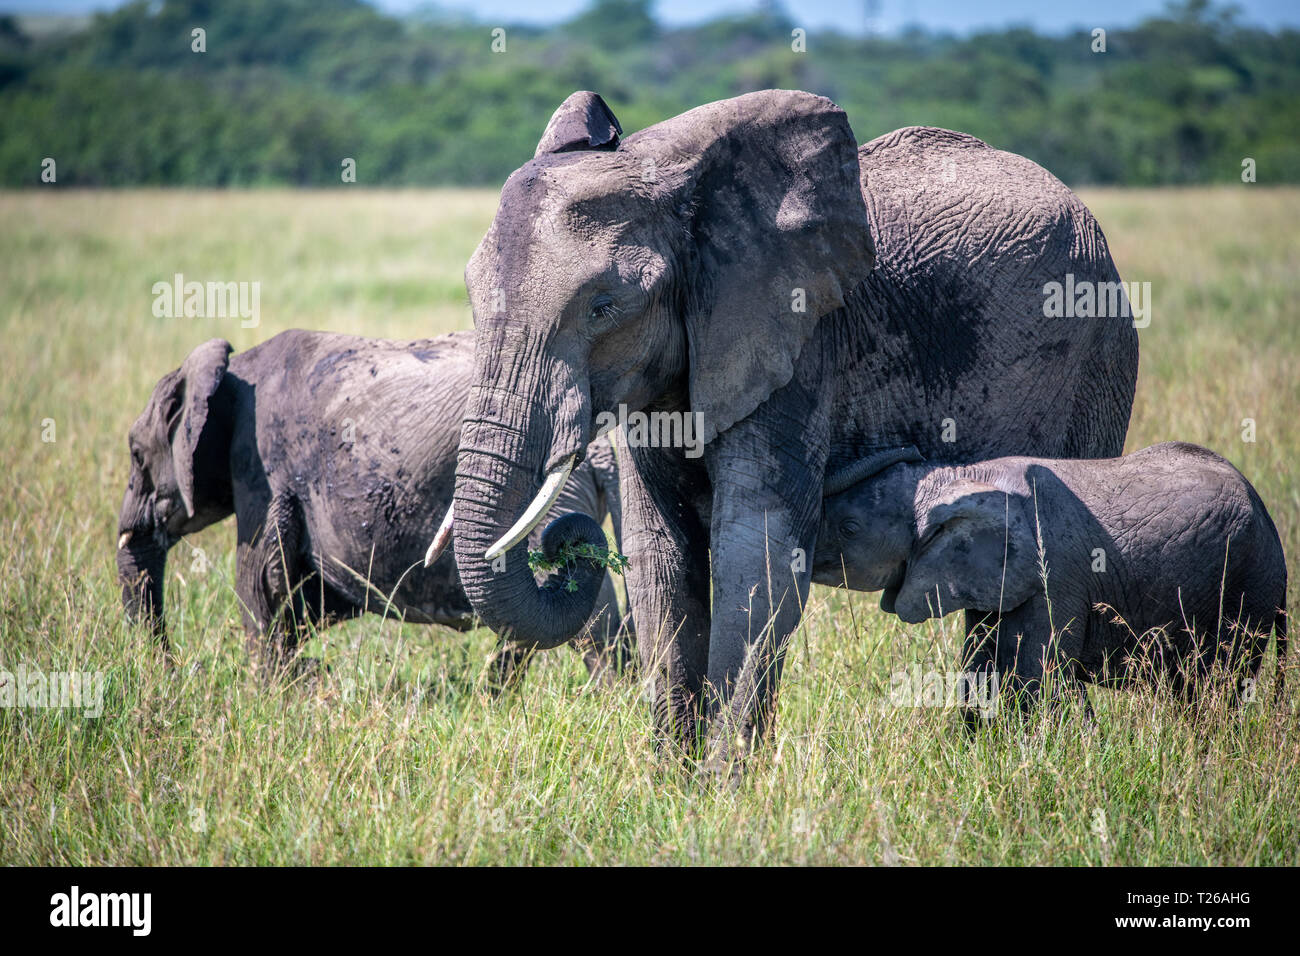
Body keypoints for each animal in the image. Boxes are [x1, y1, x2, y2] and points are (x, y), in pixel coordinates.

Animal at [116, 329, 634, 687]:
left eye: (138, 456)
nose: (181, 669)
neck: (232, 369)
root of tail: (603, 447)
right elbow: (310, 595)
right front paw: (305, 680)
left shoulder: (260, 466)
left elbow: (259, 581)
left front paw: (274, 693)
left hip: (554, 498)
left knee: (593, 626)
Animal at [432, 88, 1139, 775]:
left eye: (605, 307)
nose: (560, 545)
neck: (673, 185)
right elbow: (659, 555)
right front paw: (668, 783)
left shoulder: (799, 345)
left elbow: (756, 551)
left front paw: (723, 787)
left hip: (1096, 355)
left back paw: (1038, 753)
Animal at [815, 442, 1288, 718]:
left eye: (849, 528)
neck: (959, 476)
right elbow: (981, 670)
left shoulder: (1053, 575)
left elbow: (1034, 678)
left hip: (1246, 587)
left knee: (1220, 685)